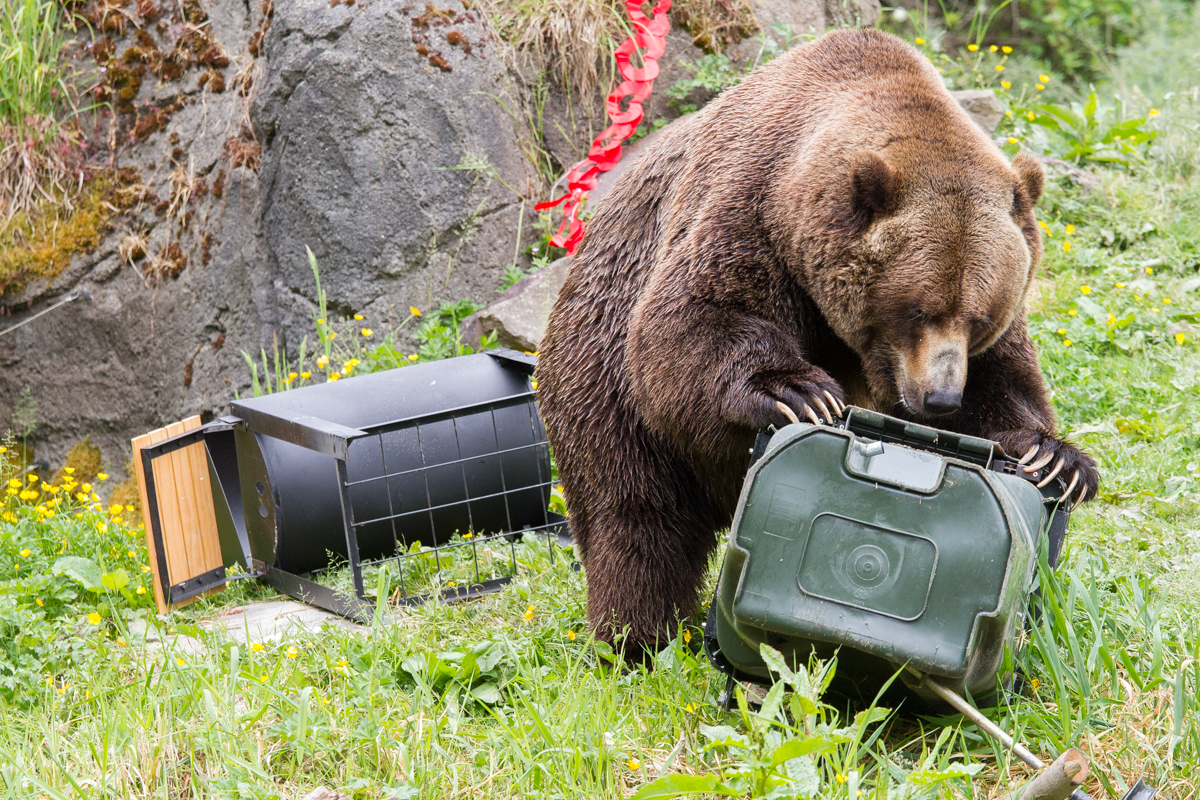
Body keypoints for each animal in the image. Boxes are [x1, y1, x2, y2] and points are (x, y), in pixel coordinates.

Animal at [535, 28, 1100, 658]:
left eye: (978, 318)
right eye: (918, 310)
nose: (939, 399)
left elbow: (1004, 387)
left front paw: (1055, 458)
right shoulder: (750, 211)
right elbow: (697, 319)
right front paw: (802, 394)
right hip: (602, 370)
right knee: (636, 515)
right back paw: (636, 637)